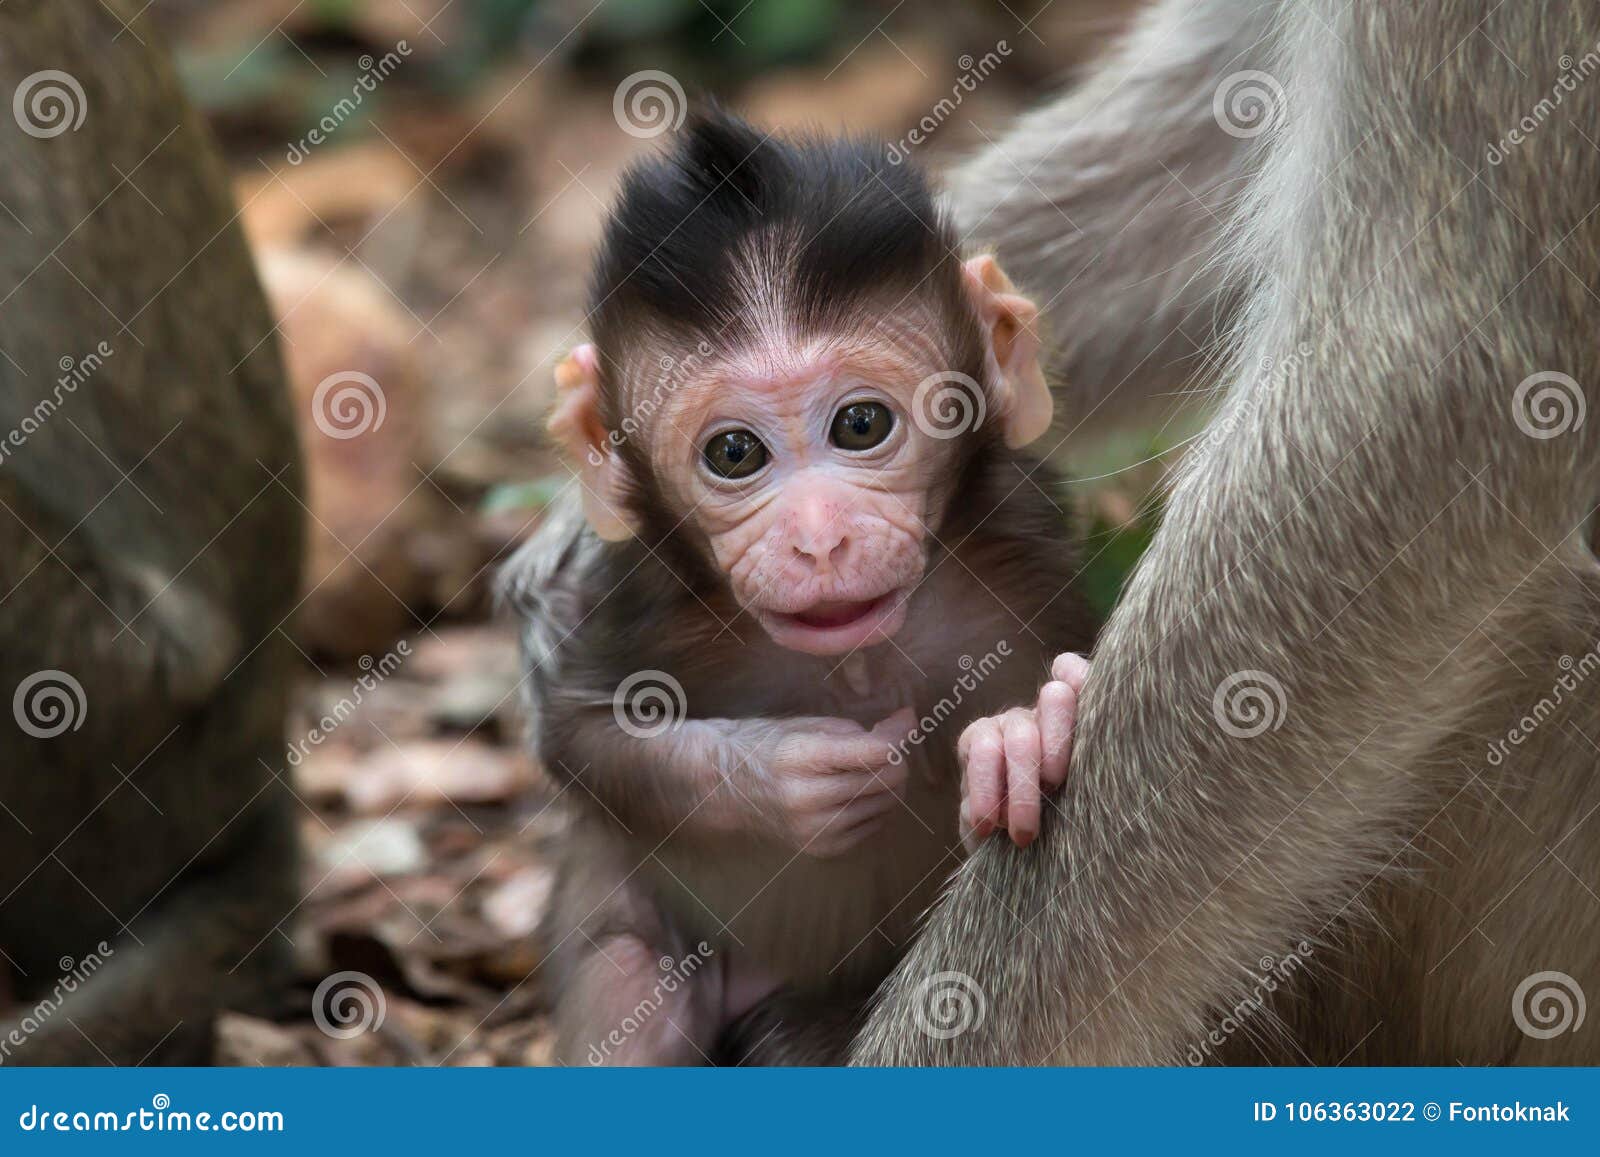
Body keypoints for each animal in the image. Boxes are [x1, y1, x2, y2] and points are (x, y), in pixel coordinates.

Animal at [502, 109, 1096, 1065]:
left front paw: (1018, 737)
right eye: (734, 452)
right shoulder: (638, 598)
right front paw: (783, 775)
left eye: (861, 425)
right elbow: (579, 736)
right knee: (632, 978)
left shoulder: (1024, 554)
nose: (819, 538)